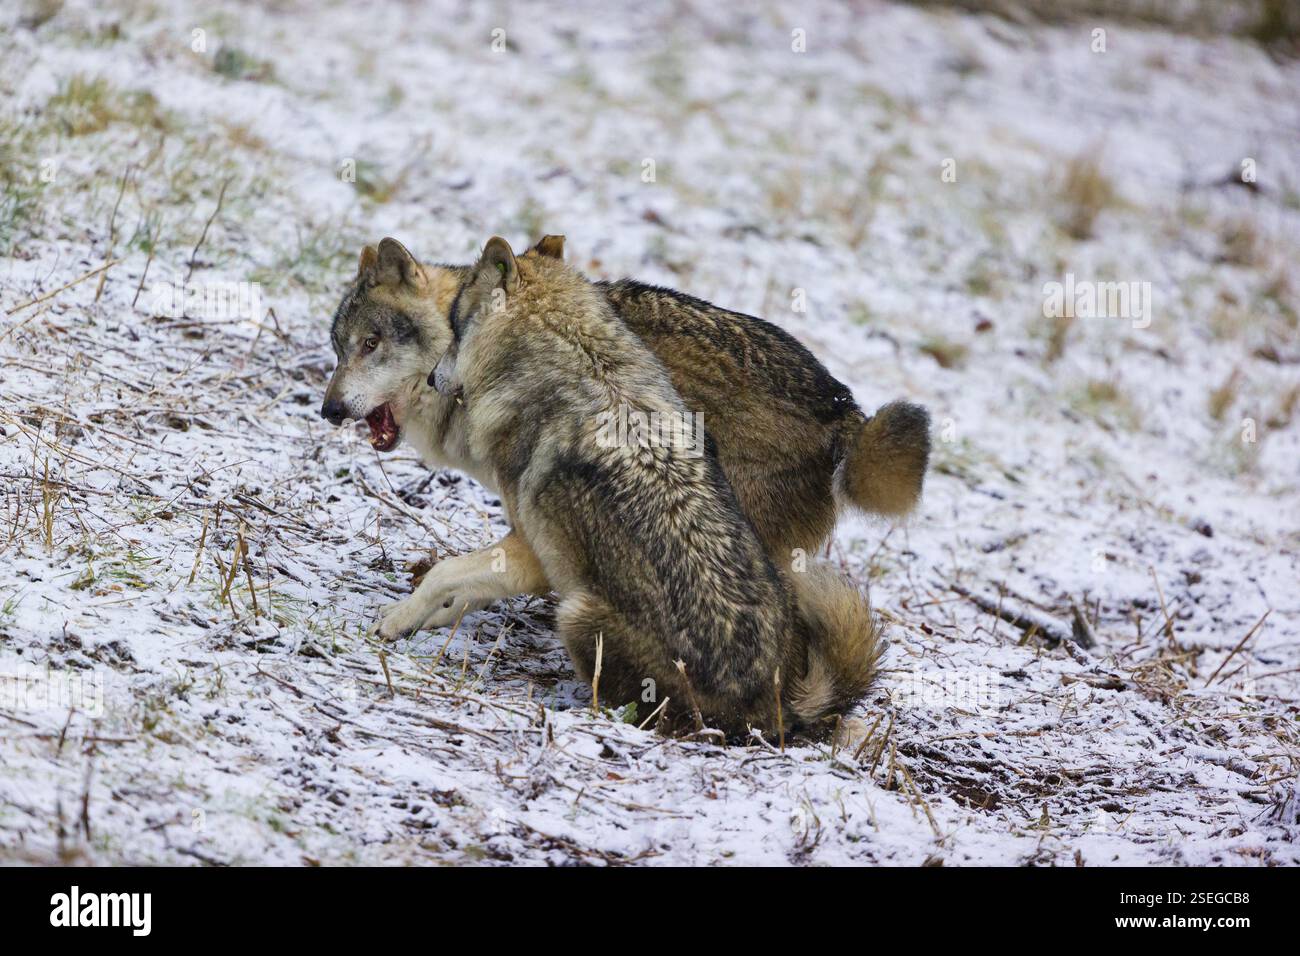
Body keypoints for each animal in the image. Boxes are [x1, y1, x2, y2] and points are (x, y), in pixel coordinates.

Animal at [321, 237, 929, 641]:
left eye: (371, 343)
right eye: (338, 348)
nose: (328, 410)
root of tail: (846, 412)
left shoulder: (540, 538)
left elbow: (450, 574)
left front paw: (400, 619)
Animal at [425, 236, 880, 734]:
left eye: (455, 327)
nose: (430, 378)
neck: (580, 358)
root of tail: (773, 706)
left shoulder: (530, 544)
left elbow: (441, 576)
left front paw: (395, 623)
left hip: (578, 613)